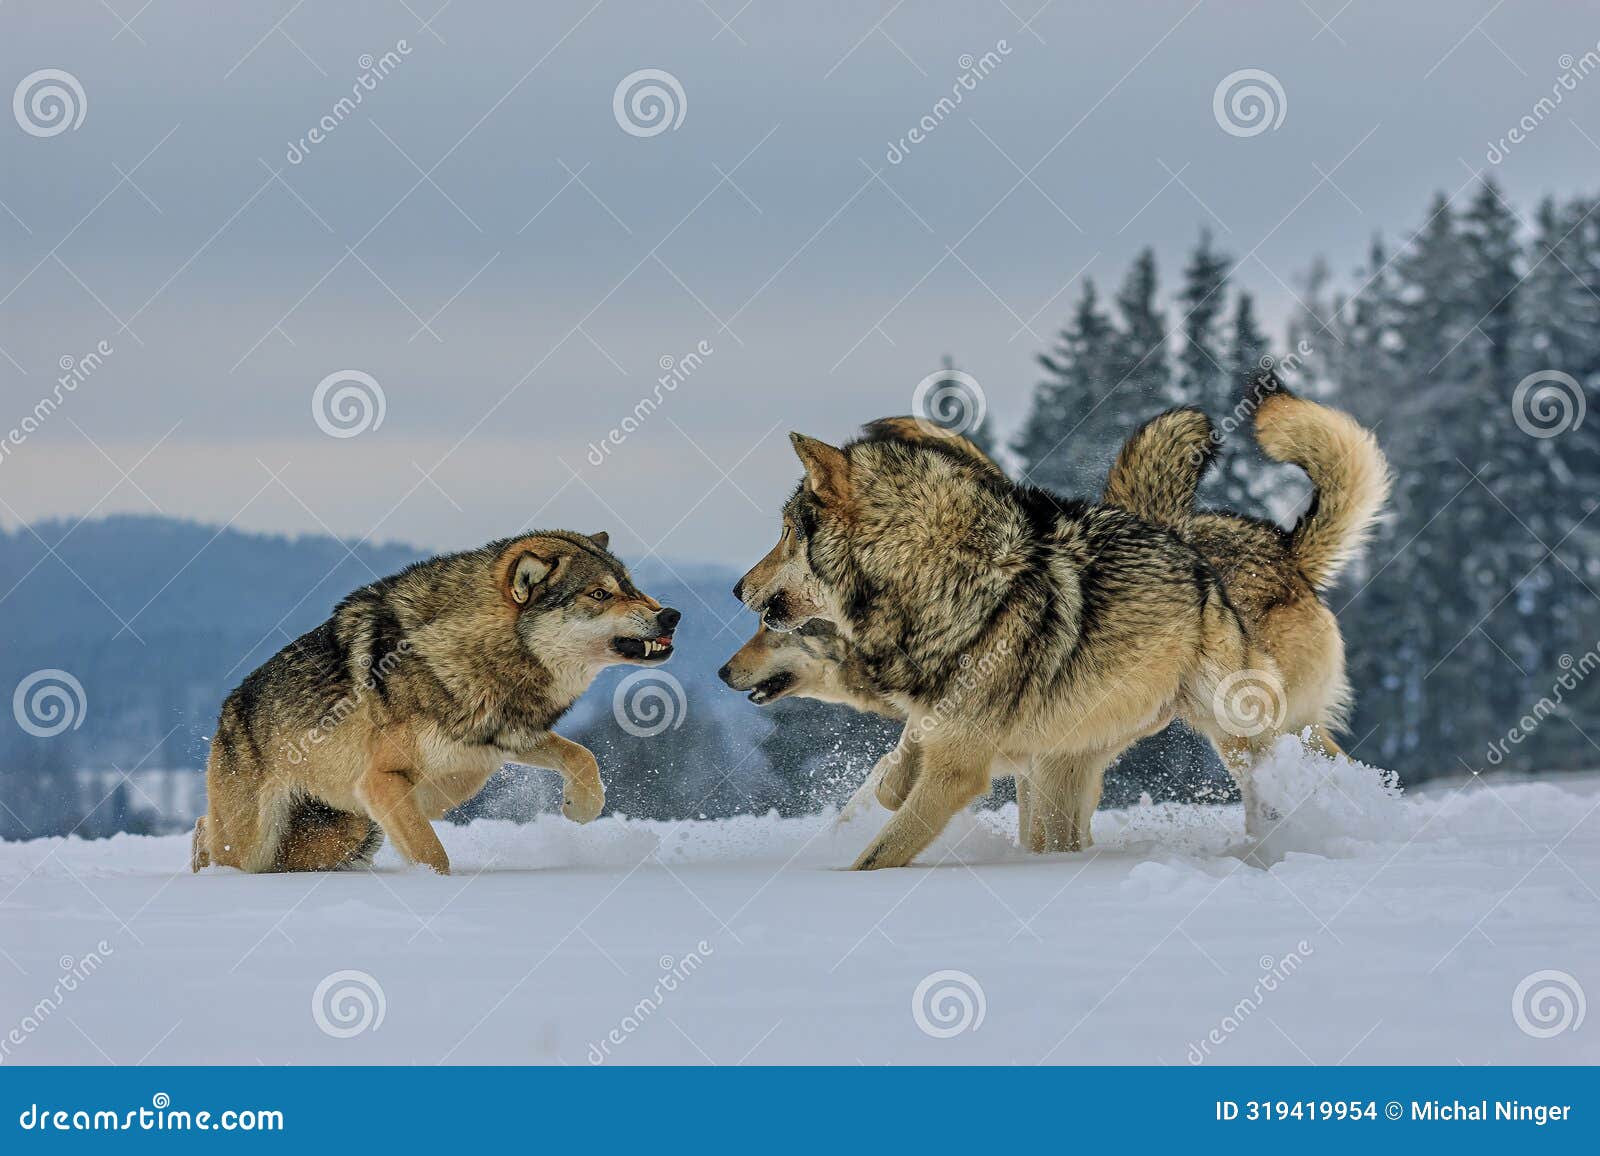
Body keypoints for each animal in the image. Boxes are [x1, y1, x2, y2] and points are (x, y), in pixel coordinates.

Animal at [190, 531, 679, 875]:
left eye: (631, 586)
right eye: (599, 594)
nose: (671, 615)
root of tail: (227, 709)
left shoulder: (505, 737)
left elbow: (581, 755)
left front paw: (582, 807)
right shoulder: (383, 781)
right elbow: (433, 854)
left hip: (350, 833)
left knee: (204, 827)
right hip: (260, 842)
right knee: (207, 833)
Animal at [734, 390, 1386, 869]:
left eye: (786, 534)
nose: (738, 589)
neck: (941, 580)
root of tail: (1282, 548)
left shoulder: (965, 769)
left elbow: (879, 851)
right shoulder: (989, 746)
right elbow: (893, 782)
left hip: (1244, 728)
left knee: (1310, 770)